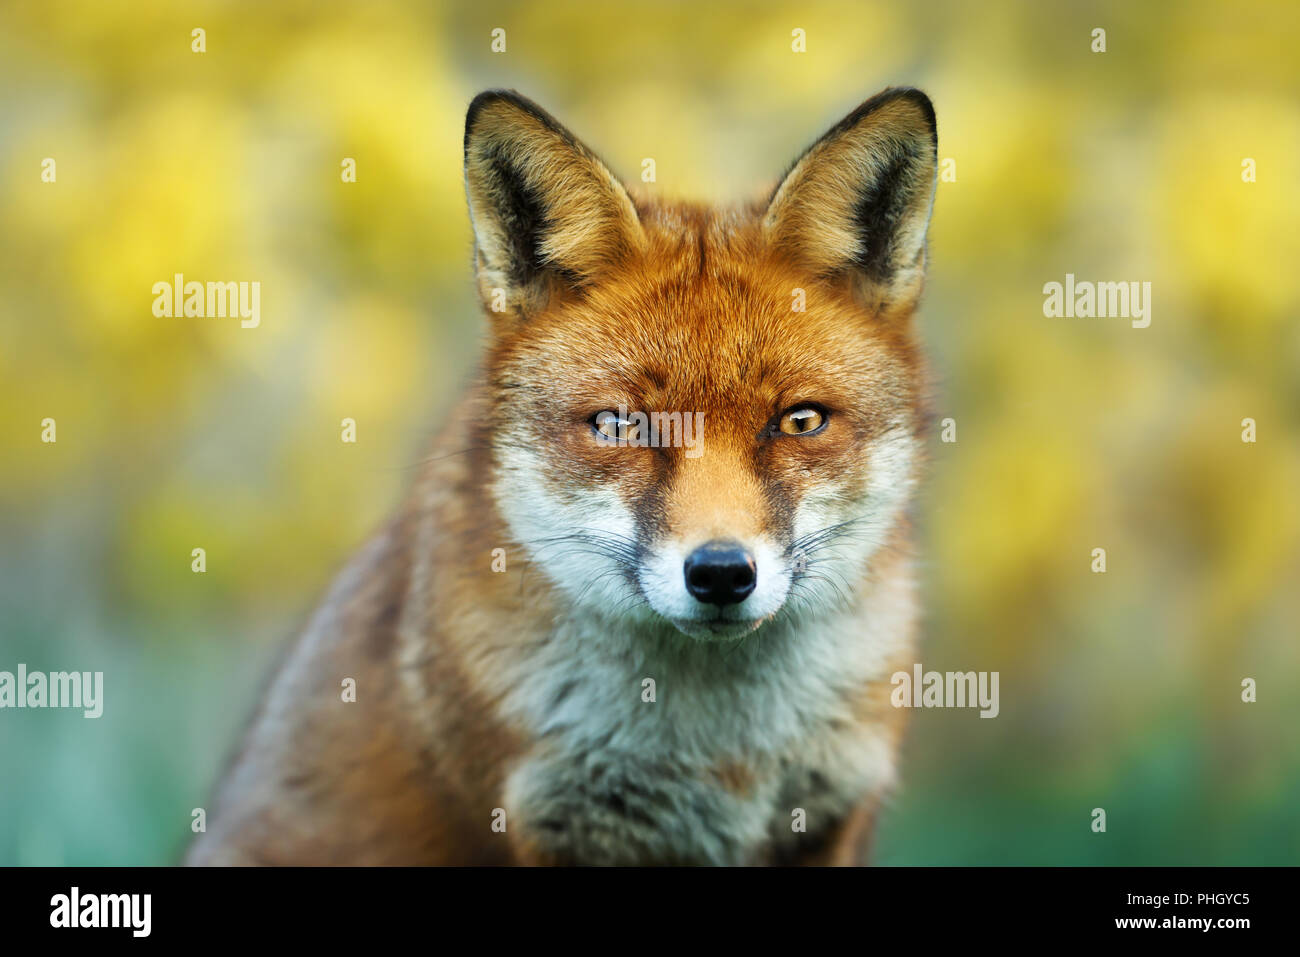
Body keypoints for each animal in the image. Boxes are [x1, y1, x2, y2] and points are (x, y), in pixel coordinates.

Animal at [186, 86, 939, 866]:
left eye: (799, 421)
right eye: (618, 425)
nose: (722, 573)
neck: (720, 759)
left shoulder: (826, 815)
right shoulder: (548, 821)